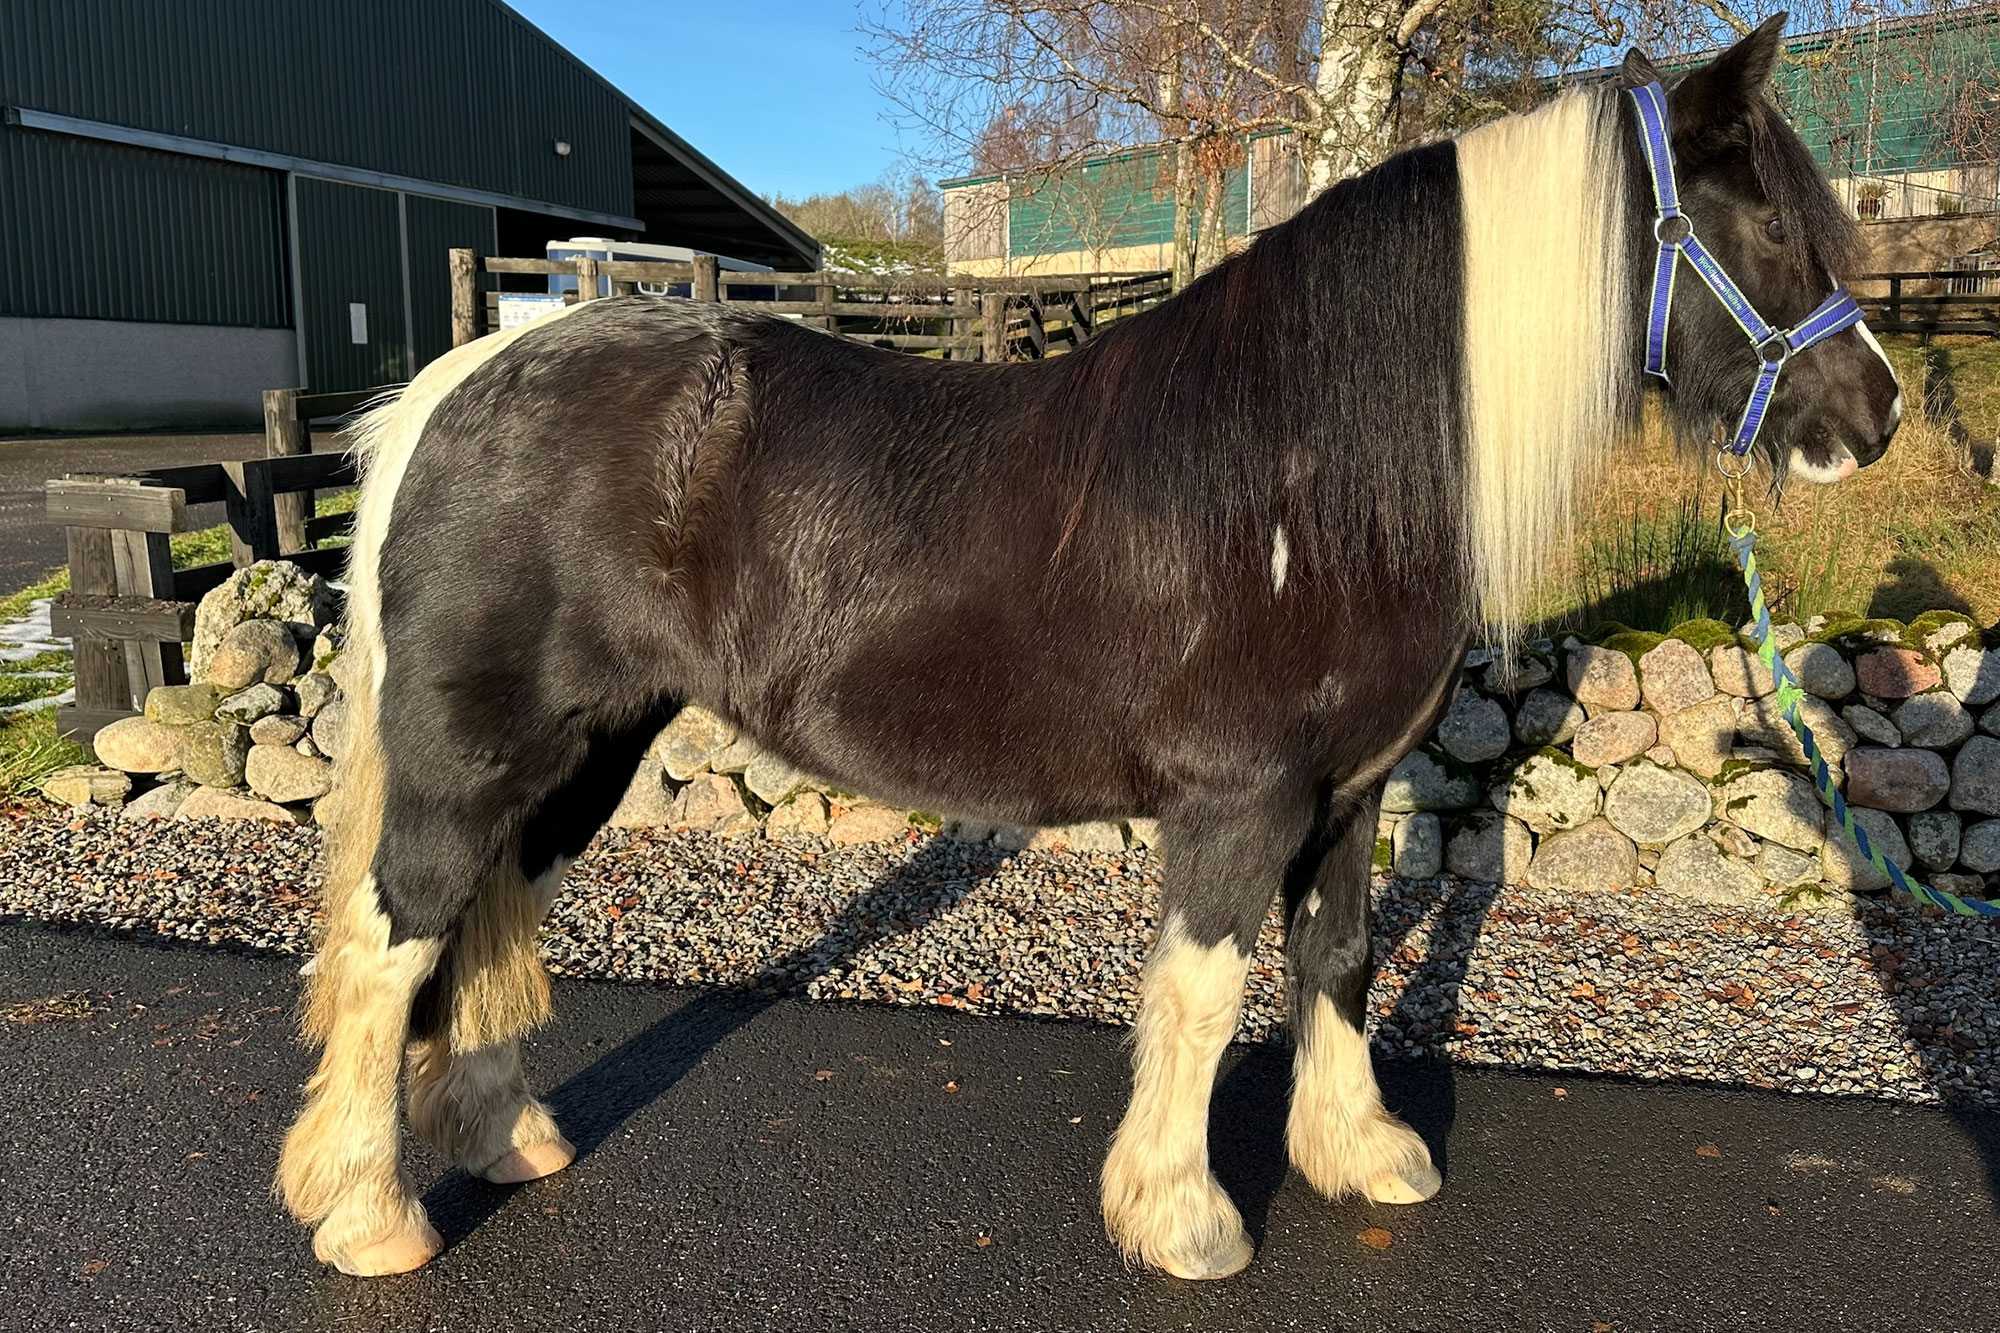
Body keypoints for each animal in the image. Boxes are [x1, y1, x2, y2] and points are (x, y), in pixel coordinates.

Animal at [278, 16, 1901, 1281]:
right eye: (1767, 228)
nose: (1876, 417)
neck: (1312, 468)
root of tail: (463, 377)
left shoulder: (1348, 794)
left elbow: (1338, 955)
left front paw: (1357, 1153)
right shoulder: (1238, 801)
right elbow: (1204, 988)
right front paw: (1182, 1217)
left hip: (586, 752)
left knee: (483, 918)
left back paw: (508, 1137)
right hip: (480, 752)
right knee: (390, 935)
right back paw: (366, 1215)